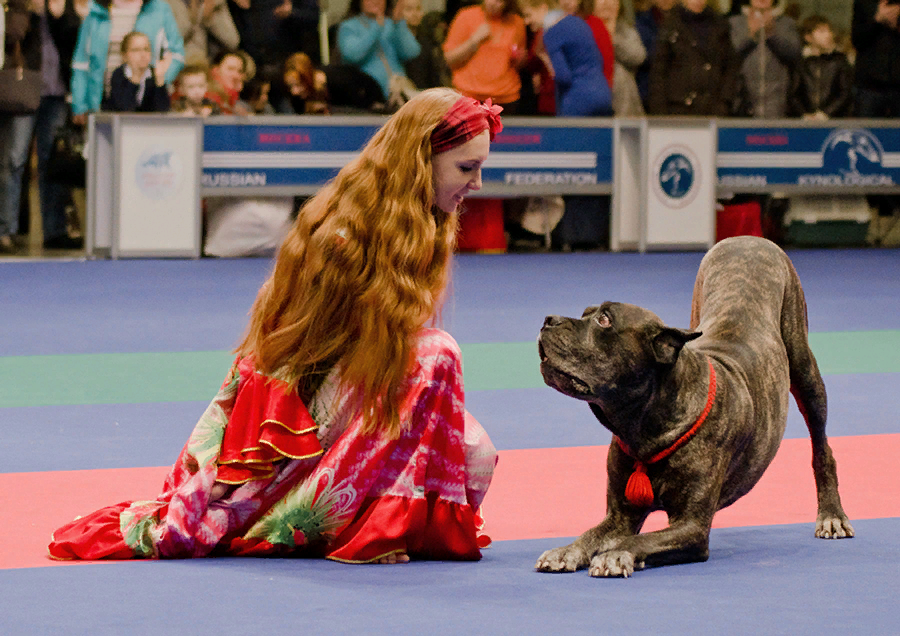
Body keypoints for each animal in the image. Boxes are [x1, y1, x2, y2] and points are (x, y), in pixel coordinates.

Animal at [536, 235, 856, 576]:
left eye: (604, 320)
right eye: (586, 313)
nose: (548, 319)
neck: (643, 424)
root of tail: (749, 238)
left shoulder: (692, 525)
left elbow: (642, 539)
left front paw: (616, 554)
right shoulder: (620, 515)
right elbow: (592, 534)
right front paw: (566, 551)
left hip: (805, 370)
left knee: (821, 447)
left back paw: (832, 514)